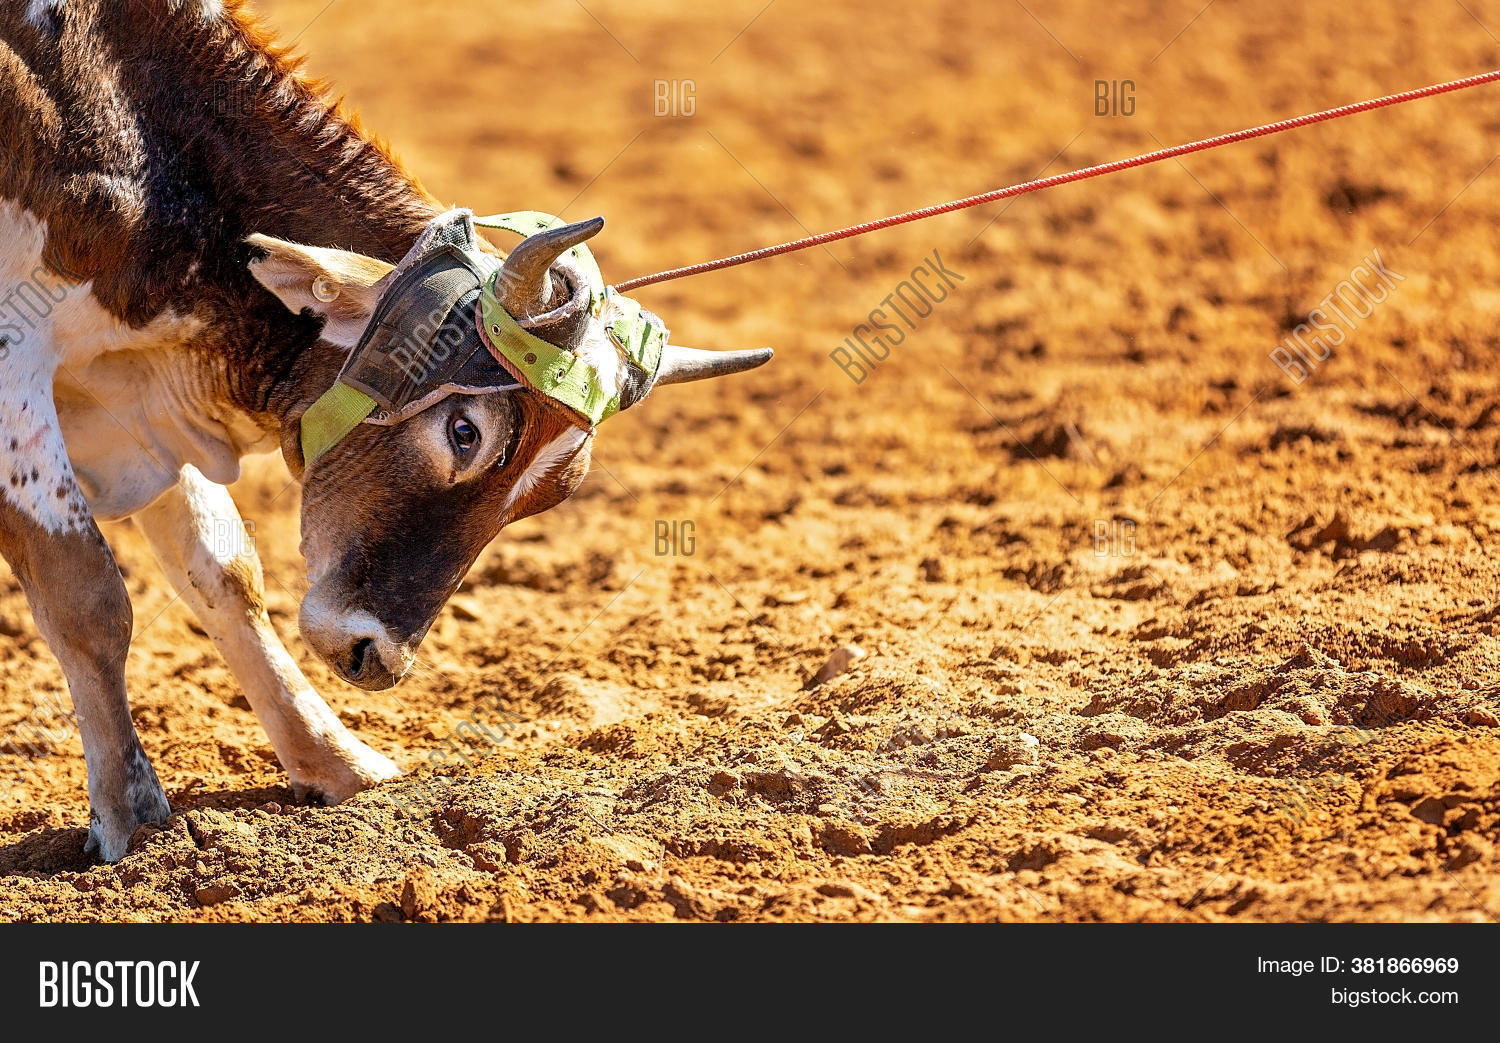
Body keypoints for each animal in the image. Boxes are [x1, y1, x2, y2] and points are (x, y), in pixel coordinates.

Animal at [0, 0, 771, 860]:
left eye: (550, 495)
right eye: (465, 430)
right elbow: (88, 596)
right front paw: (131, 812)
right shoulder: (18, 364)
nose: (375, 655)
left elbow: (226, 574)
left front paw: (335, 759)